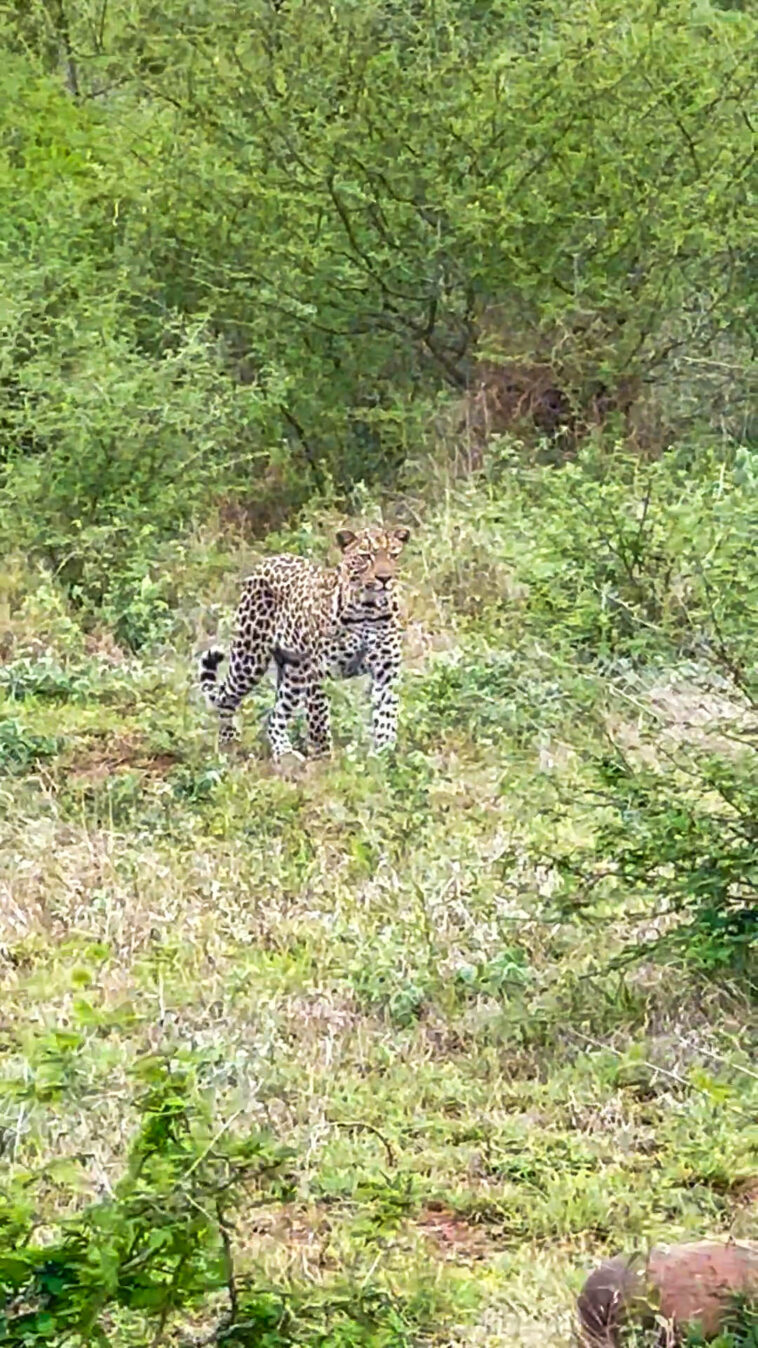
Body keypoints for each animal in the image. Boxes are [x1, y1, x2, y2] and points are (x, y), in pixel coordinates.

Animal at [198, 525, 411, 762]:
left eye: (393, 555)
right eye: (366, 557)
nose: (385, 578)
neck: (368, 609)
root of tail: (269, 560)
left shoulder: (387, 673)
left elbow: (386, 718)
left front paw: (384, 758)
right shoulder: (319, 672)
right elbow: (319, 722)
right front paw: (324, 762)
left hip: (294, 672)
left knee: (276, 715)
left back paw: (285, 754)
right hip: (249, 659)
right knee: (227, 698)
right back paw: (229, 742)